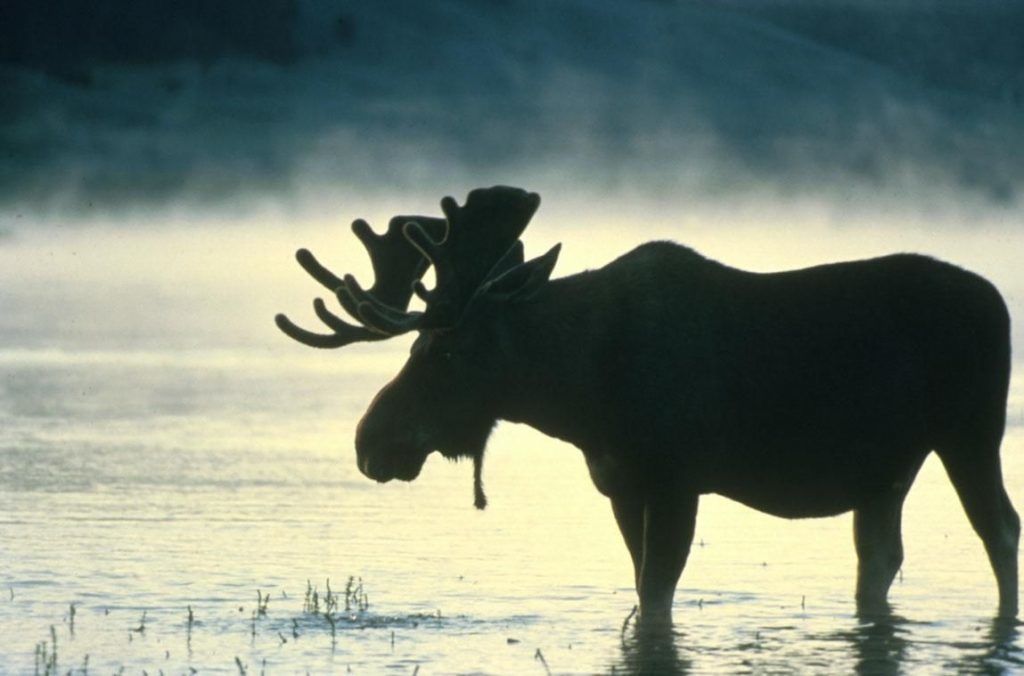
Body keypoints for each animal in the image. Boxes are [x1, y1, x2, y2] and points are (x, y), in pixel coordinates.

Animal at [276, 186, 1018, 623]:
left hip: (969, 432)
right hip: (887, 469)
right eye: (418, 345)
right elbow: (641, 588)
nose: (370, 442)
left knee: (1000, 527)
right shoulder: (620, 485)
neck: (578, 392)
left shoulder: (675, 478)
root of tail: (999, 301)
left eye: (448, 350)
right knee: (880, 558)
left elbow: (658, 594)